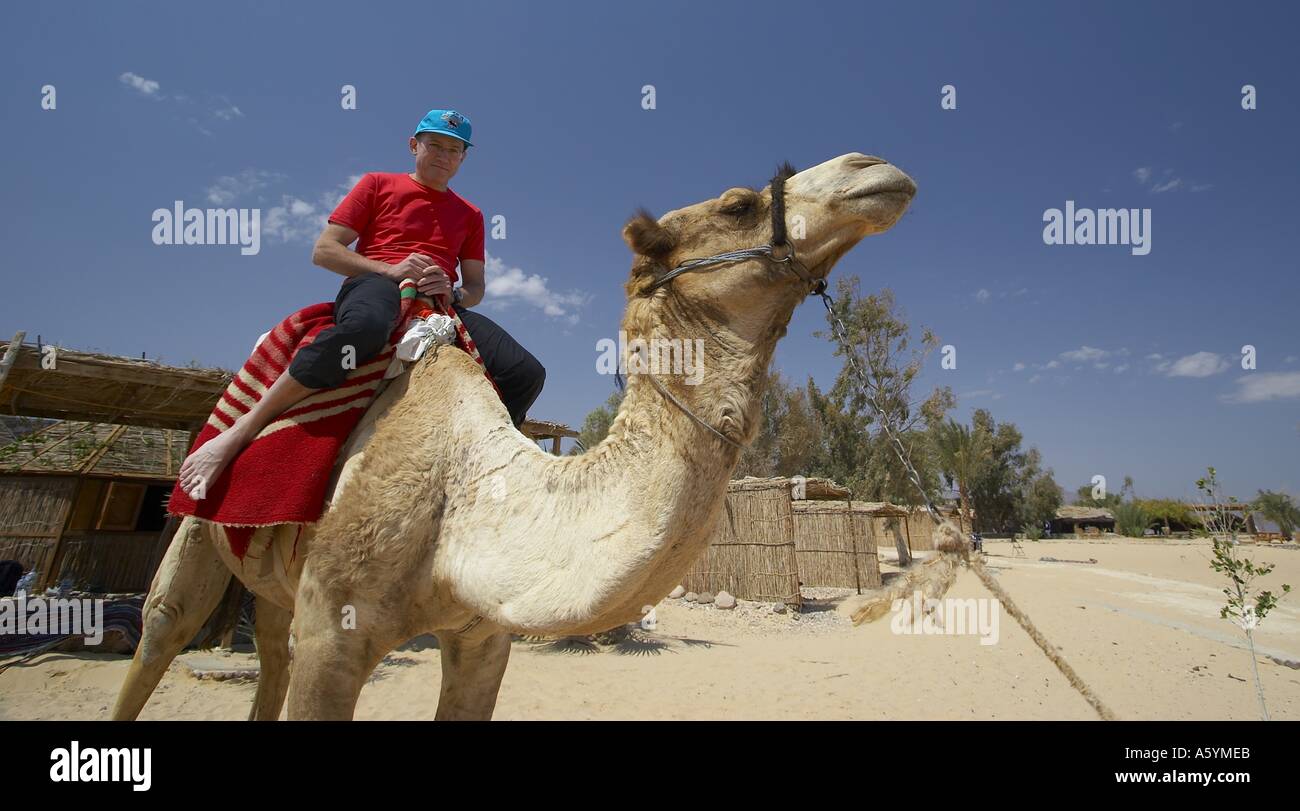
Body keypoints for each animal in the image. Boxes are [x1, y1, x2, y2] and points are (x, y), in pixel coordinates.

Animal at [111, 152, 925, 721]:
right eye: (737, 204)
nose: (871, 168)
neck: (467, 501)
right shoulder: (334, 637)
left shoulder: (483, 639)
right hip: (199, 529)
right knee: (162, 629)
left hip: (280, 581)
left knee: (269, 649)